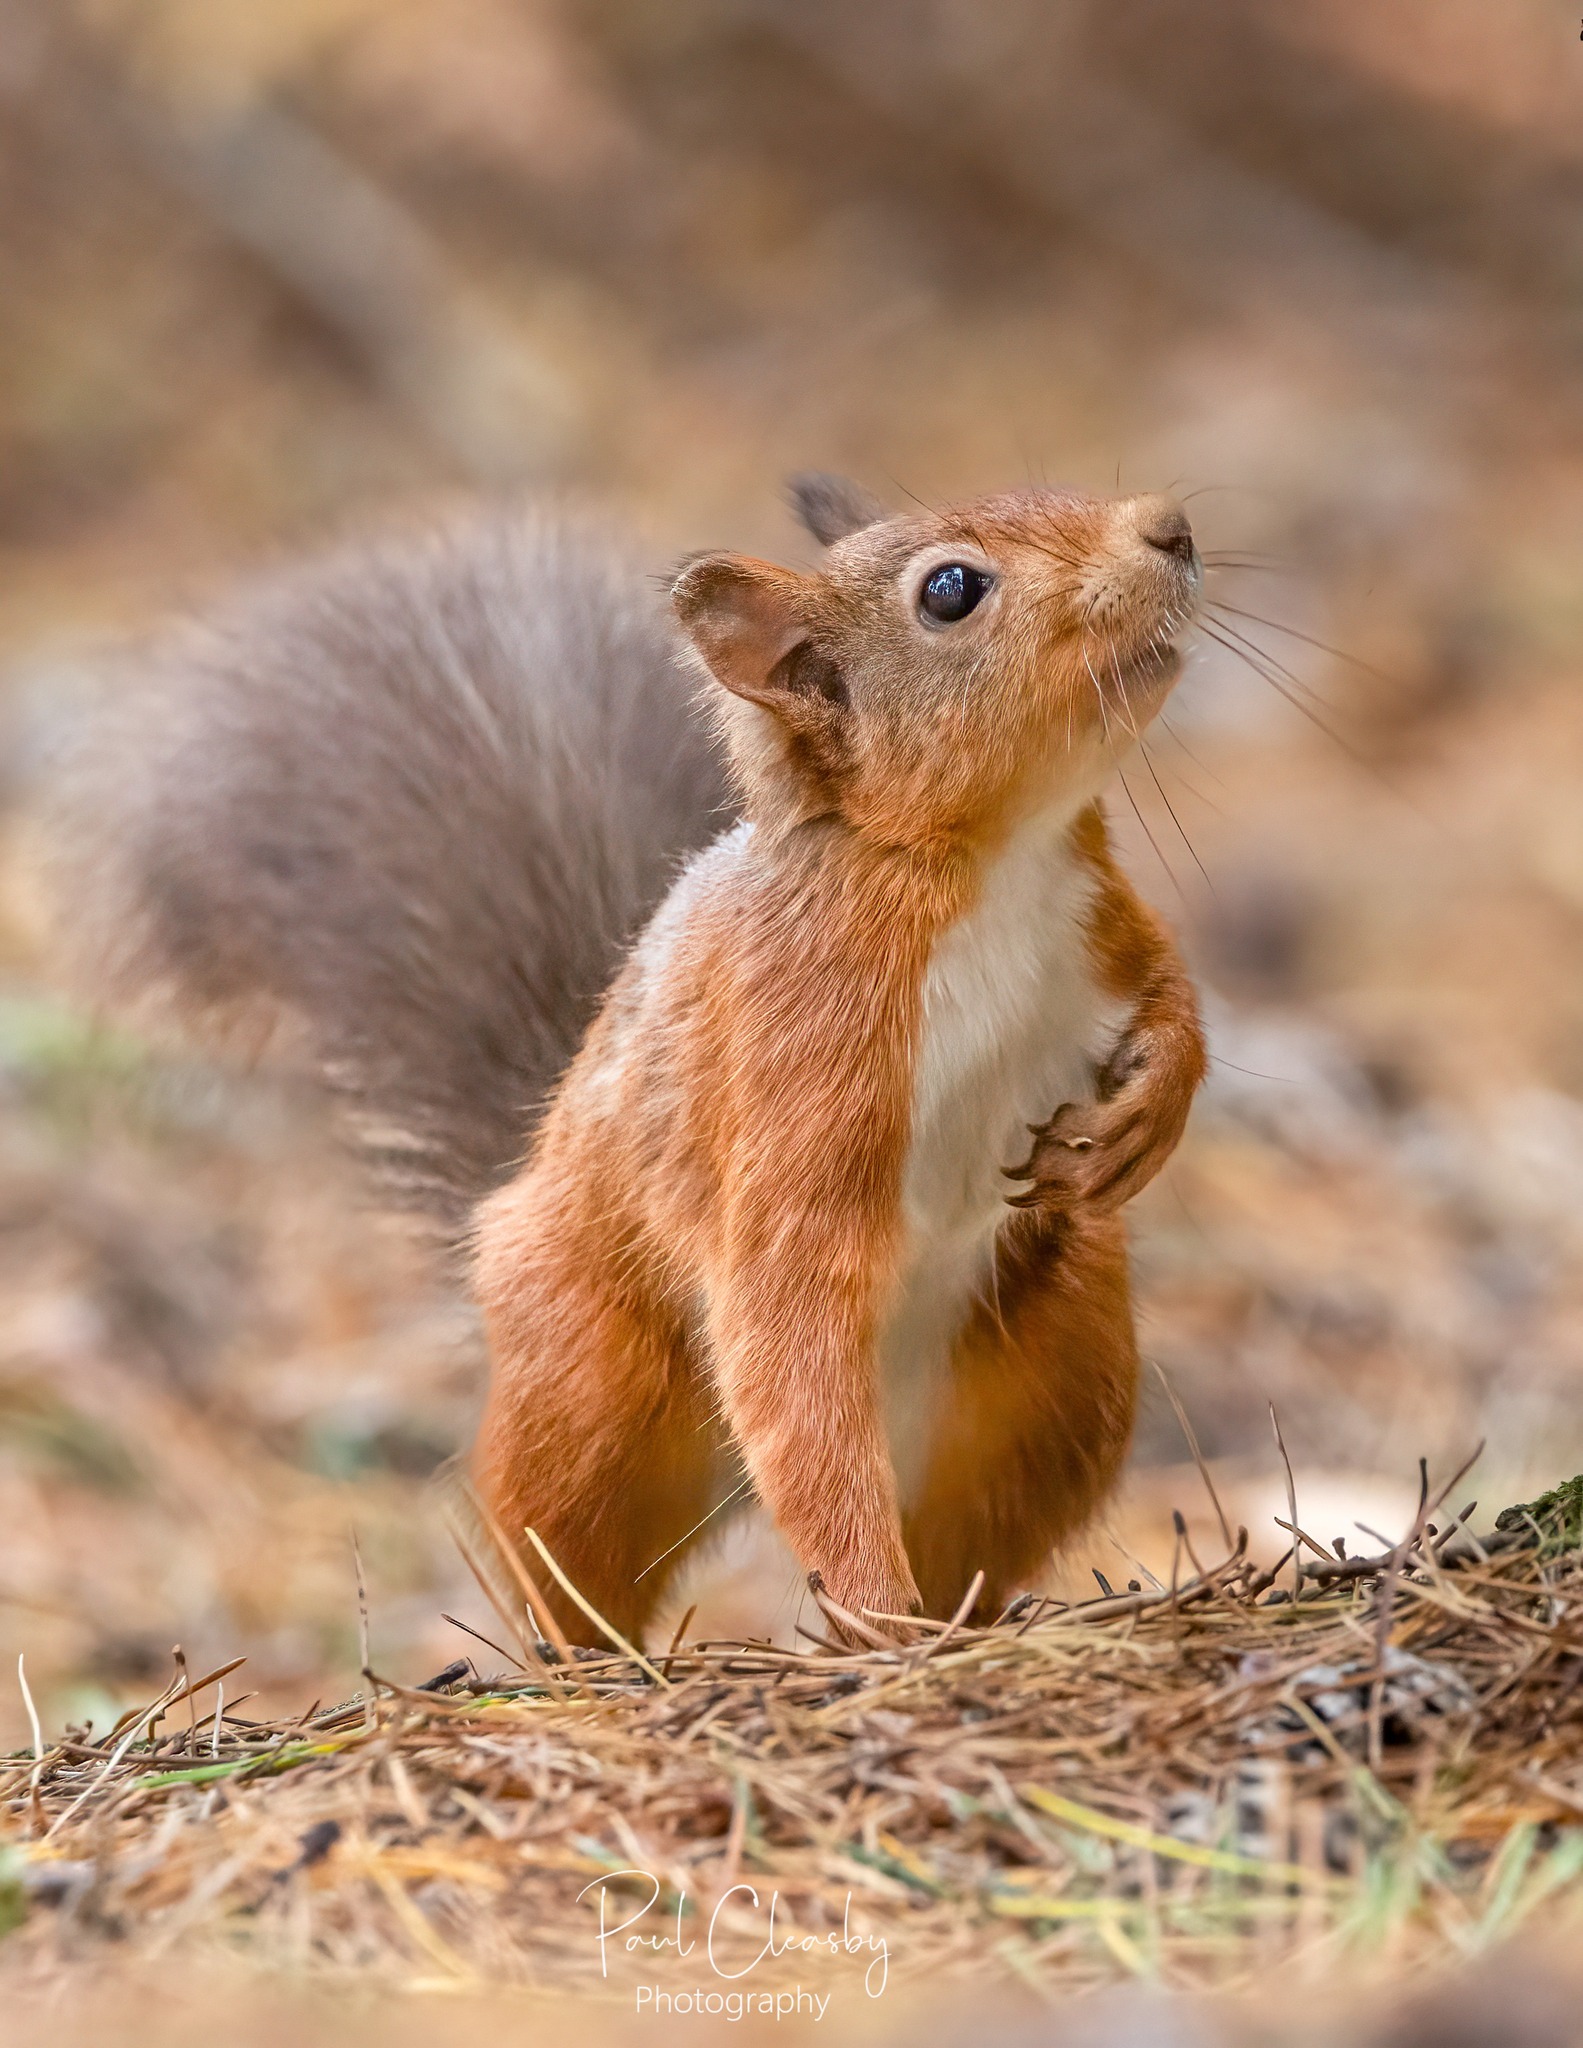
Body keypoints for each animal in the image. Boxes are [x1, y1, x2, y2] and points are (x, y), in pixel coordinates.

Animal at [49, 476, 1207, 1645]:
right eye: (950, 591)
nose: (1167, 528)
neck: (996, 865)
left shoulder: (1101, 927)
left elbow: (1174, 1001)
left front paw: (1144, 1116)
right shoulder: (798, 1061)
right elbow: (782, 1295)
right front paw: (877, 1619)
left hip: (1059, 1377)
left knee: (972, 1526)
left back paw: (970, 1616)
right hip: (591, 1395)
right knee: (584, 1548)